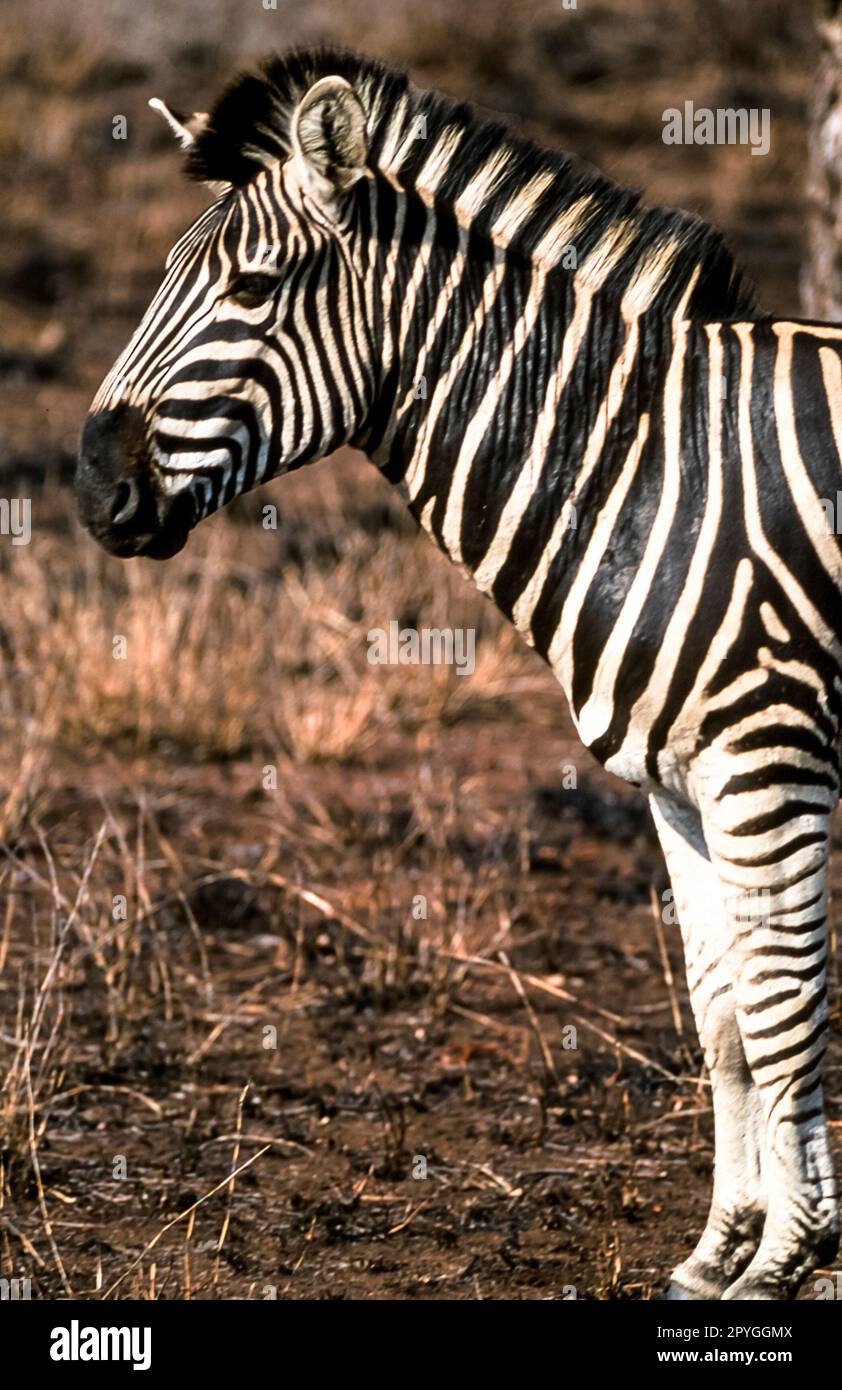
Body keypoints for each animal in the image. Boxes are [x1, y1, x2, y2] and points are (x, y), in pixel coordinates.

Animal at [75, 46, 842, 1301]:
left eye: (253, 290)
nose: (93, 489)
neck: (646, 463)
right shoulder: (678, 782)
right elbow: (723, 1013)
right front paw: (717, 1250)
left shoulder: (767, 760)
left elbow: (784, 1010)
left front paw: (785, 1259)